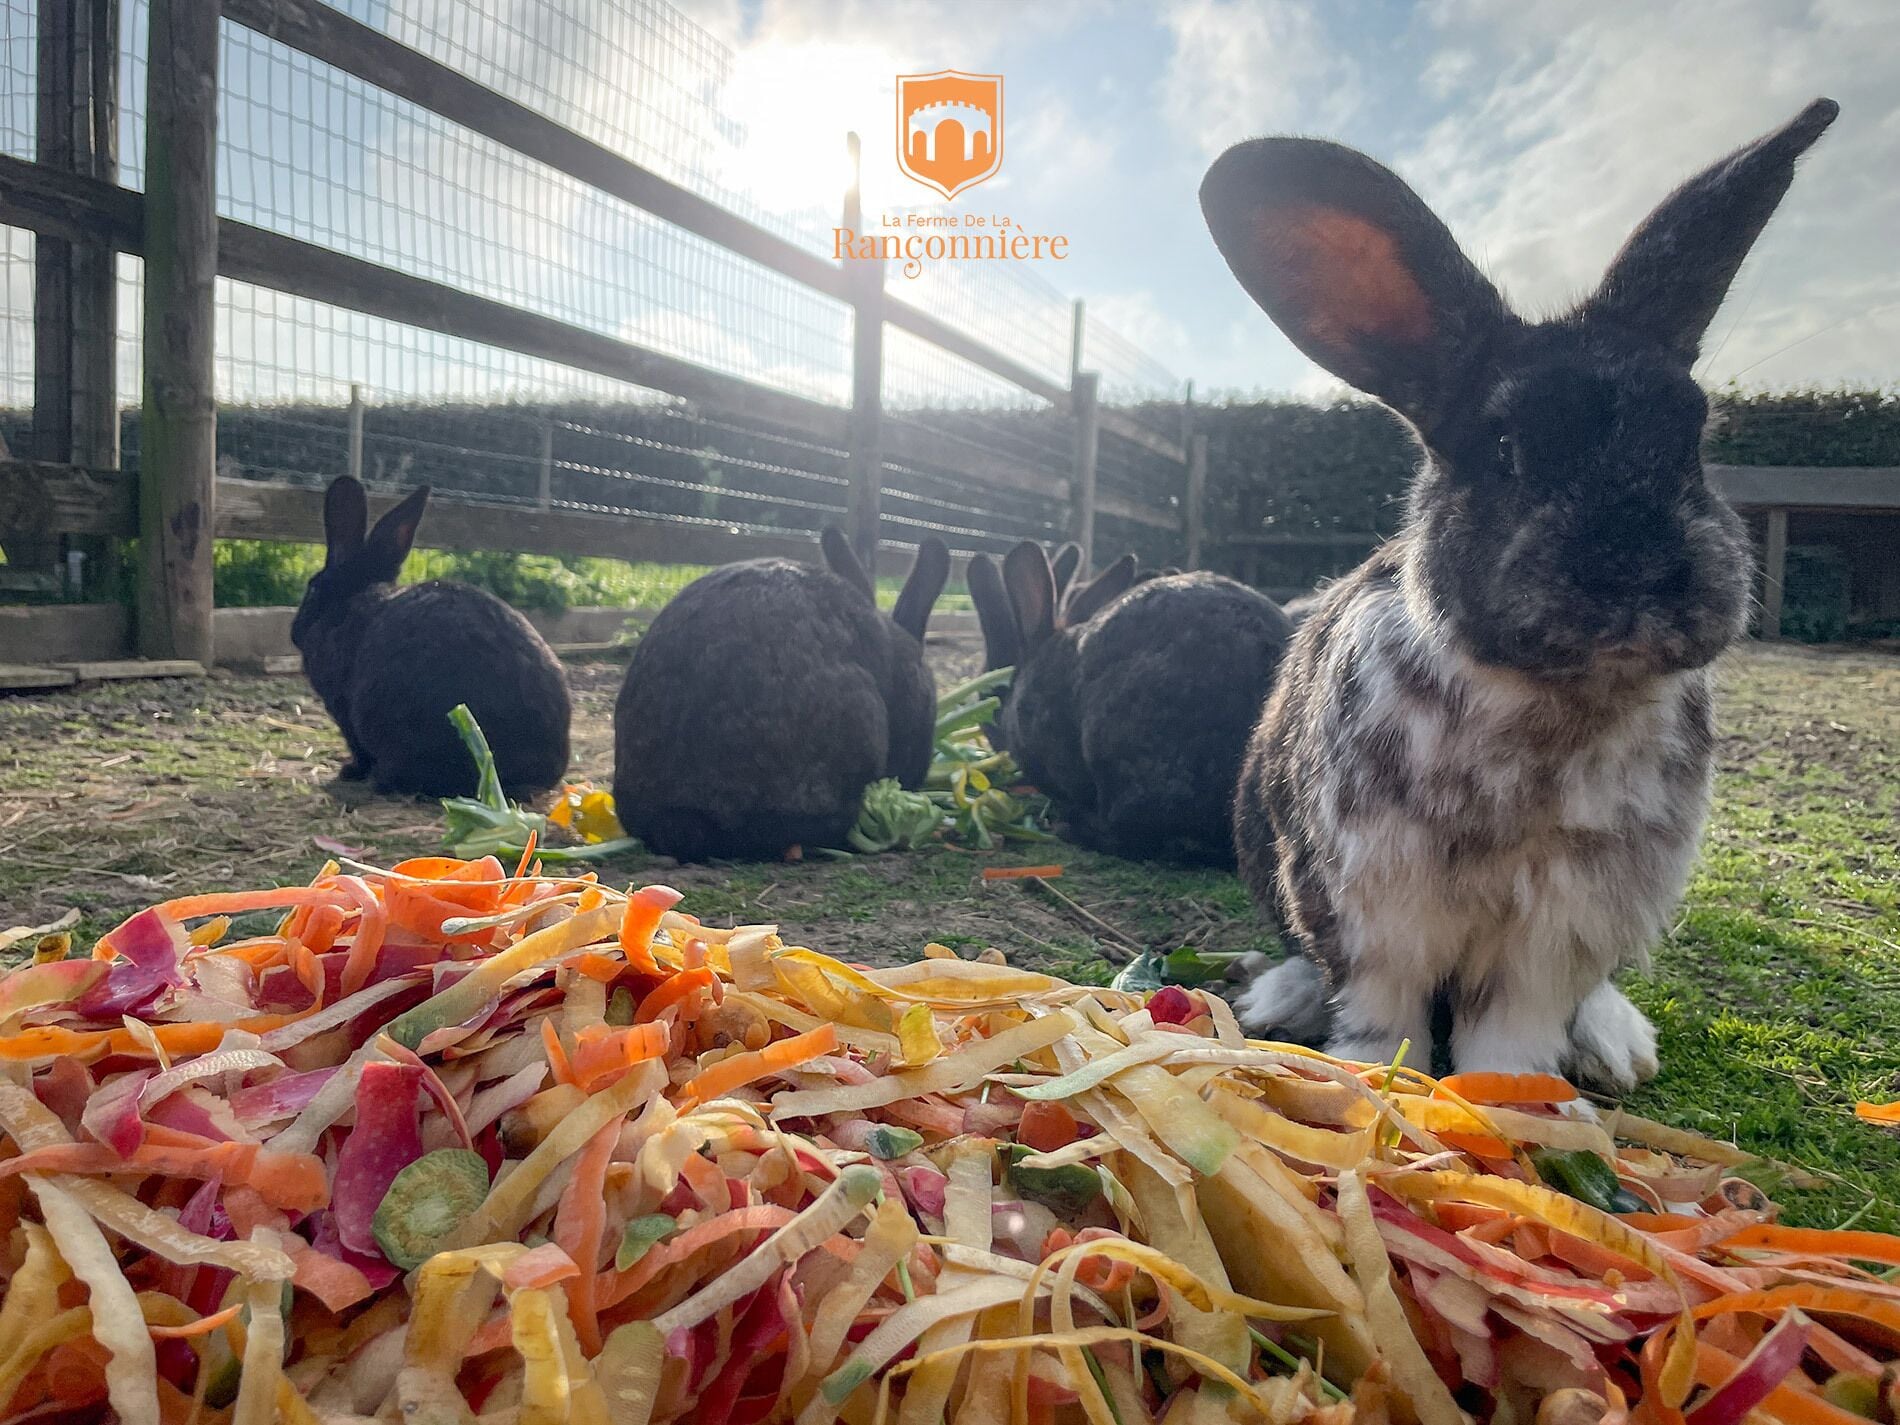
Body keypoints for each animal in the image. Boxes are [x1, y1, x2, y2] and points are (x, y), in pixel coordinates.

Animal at [1201, 99, 1838, 1088]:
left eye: (1691, 436)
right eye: (1504, 450)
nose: (1635, 569)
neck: (1550, 701)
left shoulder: (1558, 930)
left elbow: (1516, 1028)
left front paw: (1522, 1103)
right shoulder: (1374, 908)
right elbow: (1382, 1014)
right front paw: (1382, 1085)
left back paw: (1616, 1043)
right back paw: (1282, 997)